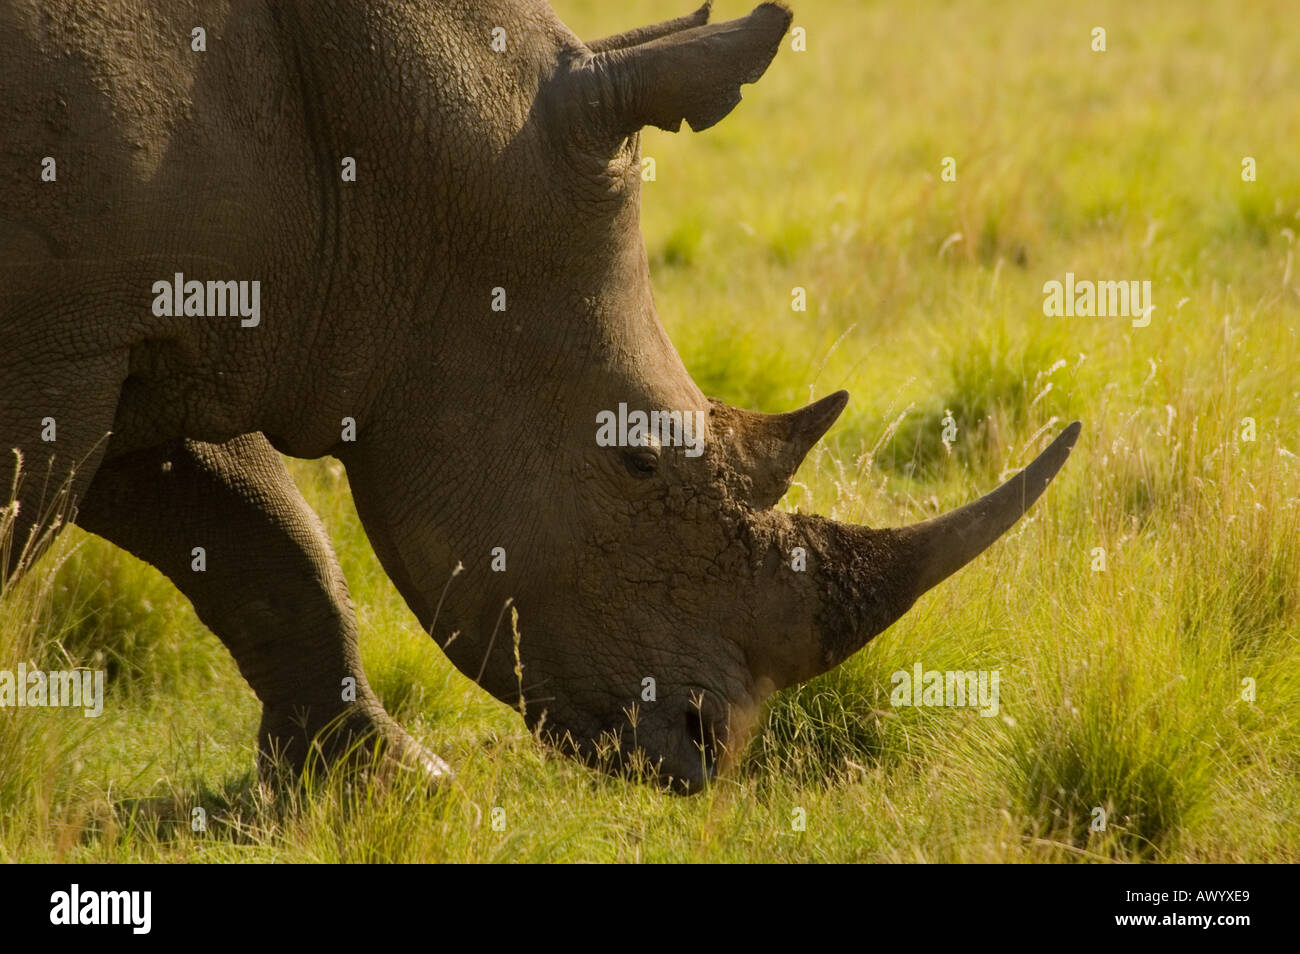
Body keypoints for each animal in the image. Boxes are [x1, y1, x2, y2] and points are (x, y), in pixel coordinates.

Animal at [0, 0, 1079, 792]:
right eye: (635, 460)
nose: (710, 748)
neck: (374, 174)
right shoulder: (61, 342)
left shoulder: (145, 329)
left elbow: (259, 535)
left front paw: (394, 784)